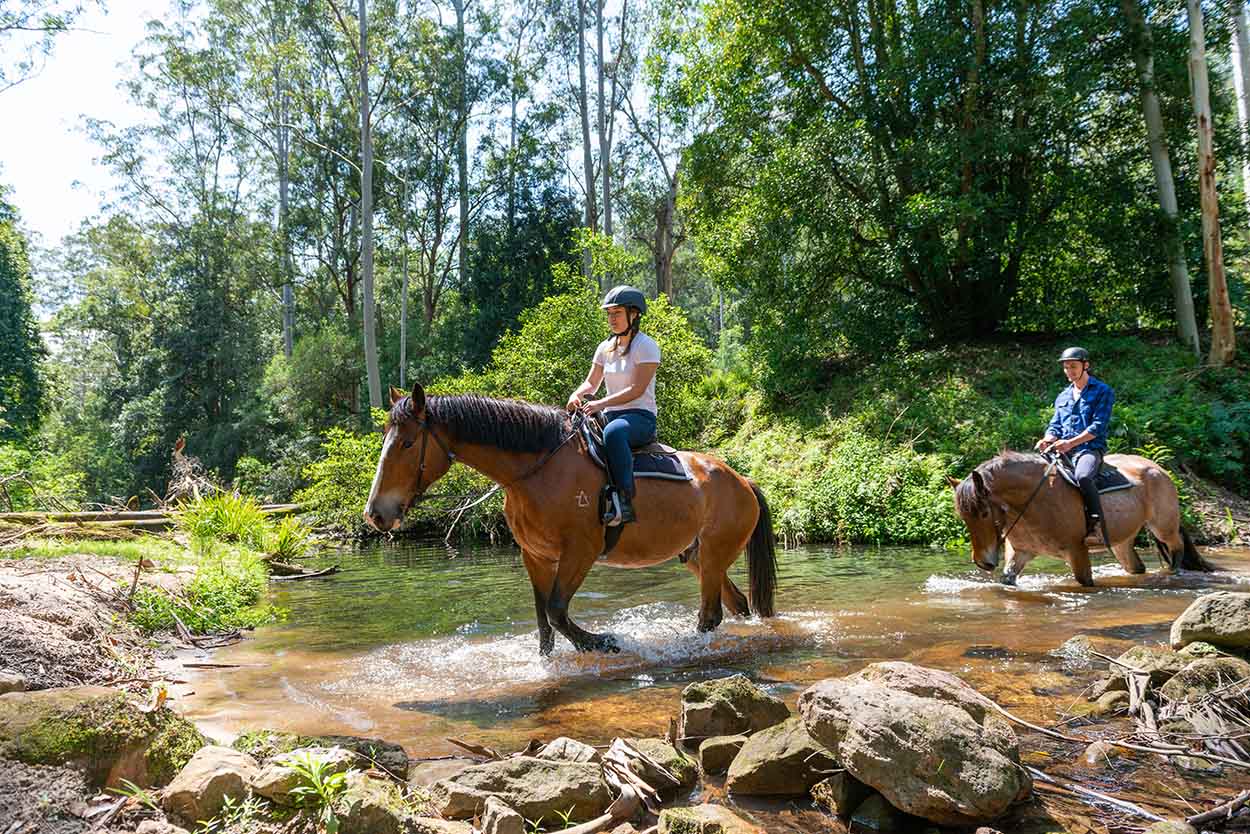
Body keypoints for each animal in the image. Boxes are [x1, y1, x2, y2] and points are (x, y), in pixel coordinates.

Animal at [363, 384, 779, 656]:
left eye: (407, 444)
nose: (376, 513)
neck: (536, 470)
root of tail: (742, 480)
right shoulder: (535, 555)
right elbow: (543, 623)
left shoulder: (581, 551)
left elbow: (557, 611)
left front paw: (602, 642)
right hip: (698, 557)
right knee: (737, 603)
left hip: (714, 554)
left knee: (711, 614)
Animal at [951, 451, 1209, 586]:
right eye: (963, 517)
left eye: (984, 513)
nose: (982, 563)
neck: (1034, 500)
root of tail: (1159, 469)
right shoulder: (1022, 551)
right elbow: (1008, 578)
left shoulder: (1077, 550)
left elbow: (1084, 581)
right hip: (1122, 543)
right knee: (1136, 567)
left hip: (1164, 528)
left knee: (1177, 549)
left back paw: (1172, 573)